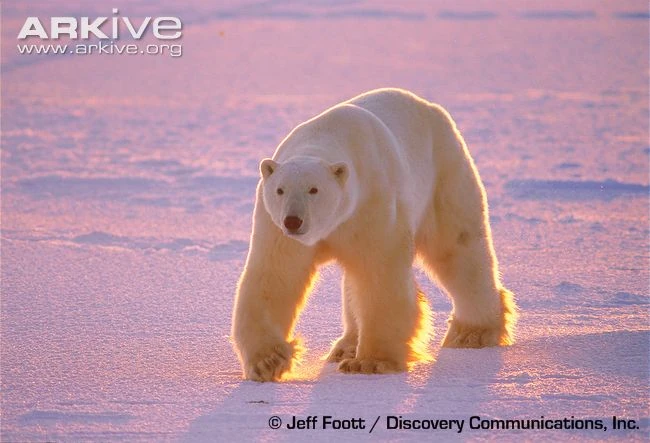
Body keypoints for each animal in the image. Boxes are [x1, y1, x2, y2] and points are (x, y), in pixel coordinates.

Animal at [231, 88, 517, 382]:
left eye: (314, 189)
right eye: (280, 190)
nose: (293, 221)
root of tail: (429, 107)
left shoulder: (371, 203)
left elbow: (379, 273)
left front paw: (370, 363)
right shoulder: (276, 227)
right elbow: (275, 275)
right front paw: (268, 361)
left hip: (443, 174)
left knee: (457, 247)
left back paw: (473, 333)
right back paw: (345, 346)